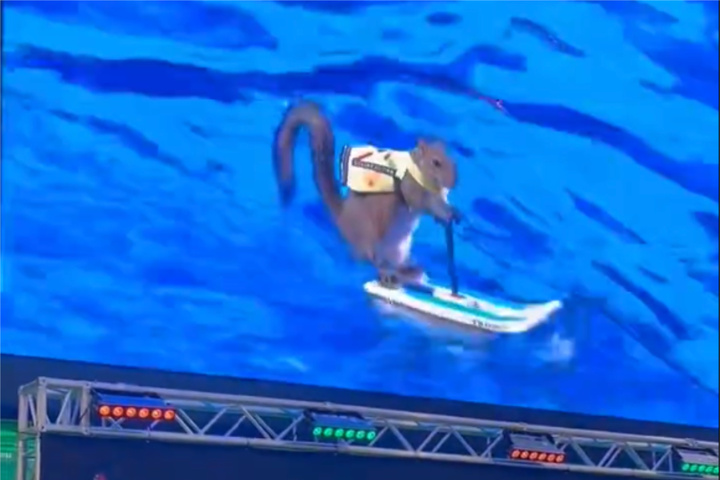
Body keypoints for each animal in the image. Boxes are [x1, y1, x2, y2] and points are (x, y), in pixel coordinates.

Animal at [272, 101, 459, 284]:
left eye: (453, 161)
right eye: (436, 163)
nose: (454, 182)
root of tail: (342, 220)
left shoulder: (438, 196)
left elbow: (440, 204)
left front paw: (452, 213)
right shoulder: (411, 189)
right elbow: (422, 204)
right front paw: (444, 214)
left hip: (399, 248)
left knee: (391, 263)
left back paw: (409, 270)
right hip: (368, 236)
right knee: (371, 261)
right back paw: (387, 273)